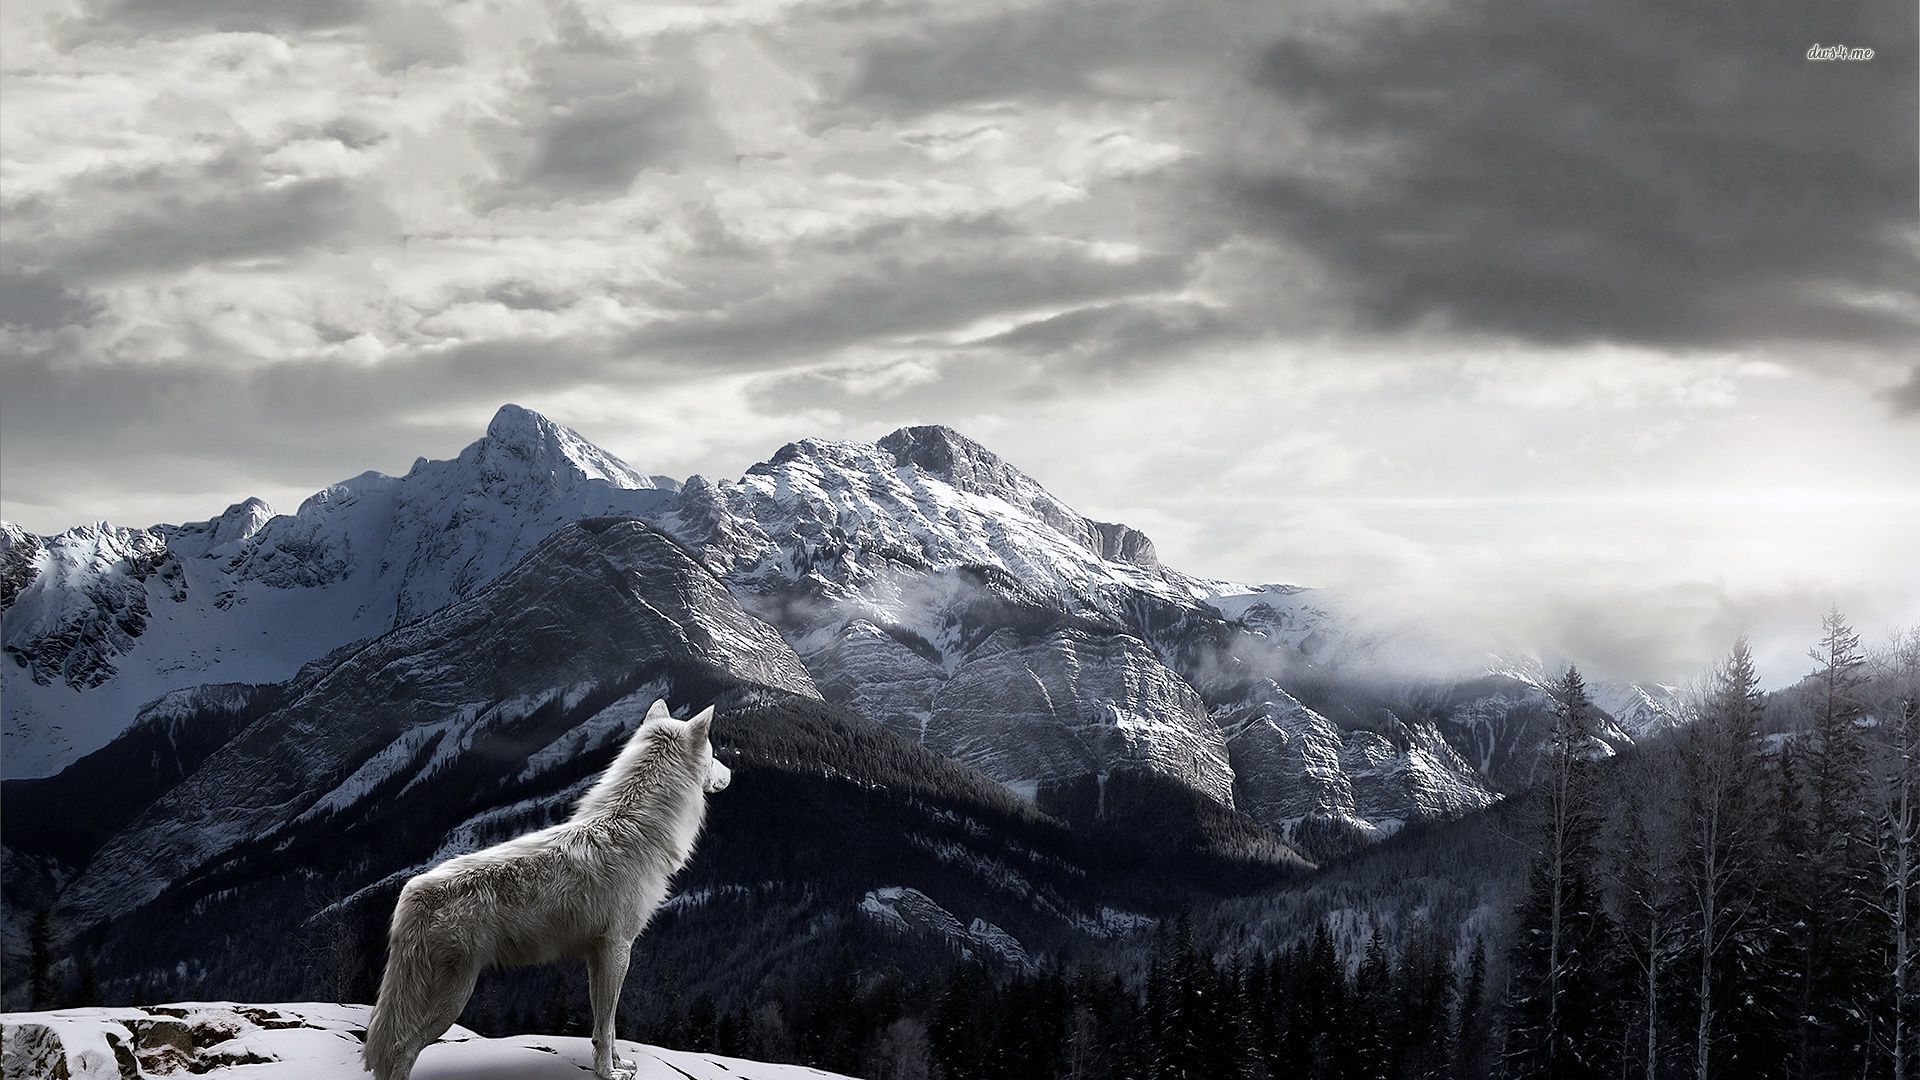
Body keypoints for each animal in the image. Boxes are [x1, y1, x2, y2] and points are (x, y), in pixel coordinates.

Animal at [362, 698, 731, 1080]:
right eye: (714, 754)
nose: (731, 772)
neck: (635, 828)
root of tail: (414, 891)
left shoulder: (598, 955)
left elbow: (606, 1025)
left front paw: (617, 1063)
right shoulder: (618, 948)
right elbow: (607, 1024)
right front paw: (608, 1073)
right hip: (452, 999)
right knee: (400, 1049)